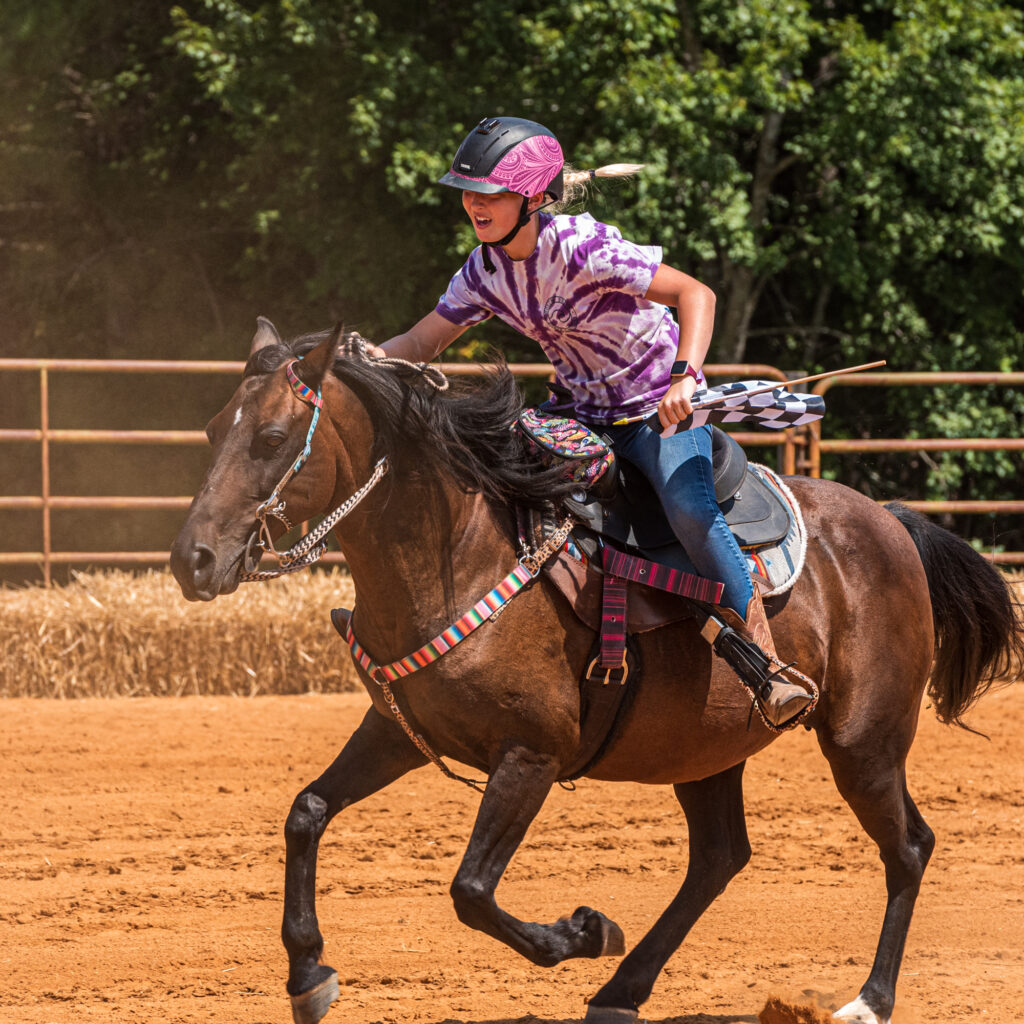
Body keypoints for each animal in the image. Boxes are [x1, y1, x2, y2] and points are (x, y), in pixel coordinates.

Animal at [170, 320, 1023, 1024]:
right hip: (705, 749)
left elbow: (470, 890)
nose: (193, 560)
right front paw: (308, 973)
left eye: (273, 435)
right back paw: (623, 991)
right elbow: (307, 811)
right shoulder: (399, 730)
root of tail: (894, 524)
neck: (459, 553)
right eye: (213, 428)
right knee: (720, 858)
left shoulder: (532, 754)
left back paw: (868, 1001)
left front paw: (582, 930)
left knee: (907, 848)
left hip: (863, 742)